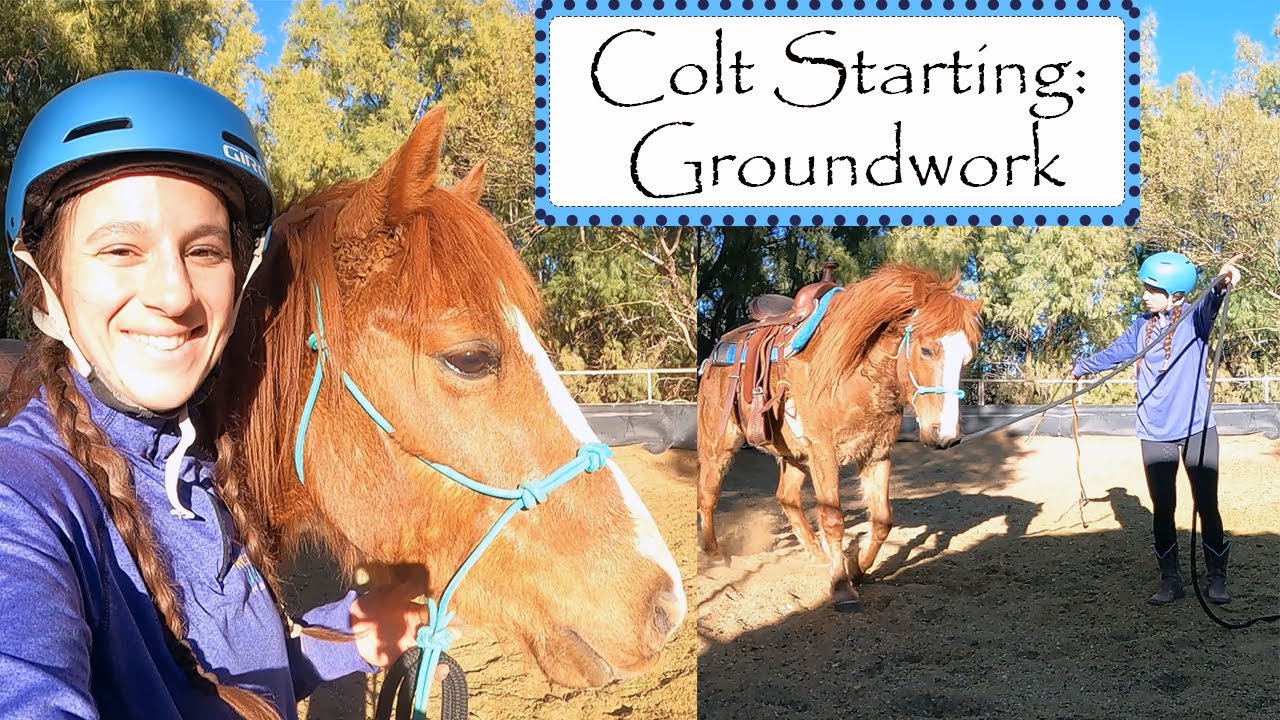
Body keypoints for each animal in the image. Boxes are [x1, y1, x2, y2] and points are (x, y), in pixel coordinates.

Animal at [697, 264, 982, 610]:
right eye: (926, 349)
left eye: (967, 358)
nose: (947, 434)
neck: (854, 373)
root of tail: (718, 351)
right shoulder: (824, 454)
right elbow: (833, 519)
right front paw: (841, 585)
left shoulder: (876, 453)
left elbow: (883, 520)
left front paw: (856, 566)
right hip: (719, 444)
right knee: (708, 494)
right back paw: (714, 555)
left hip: (794, 456)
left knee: (787, 497)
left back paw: (817, 554)